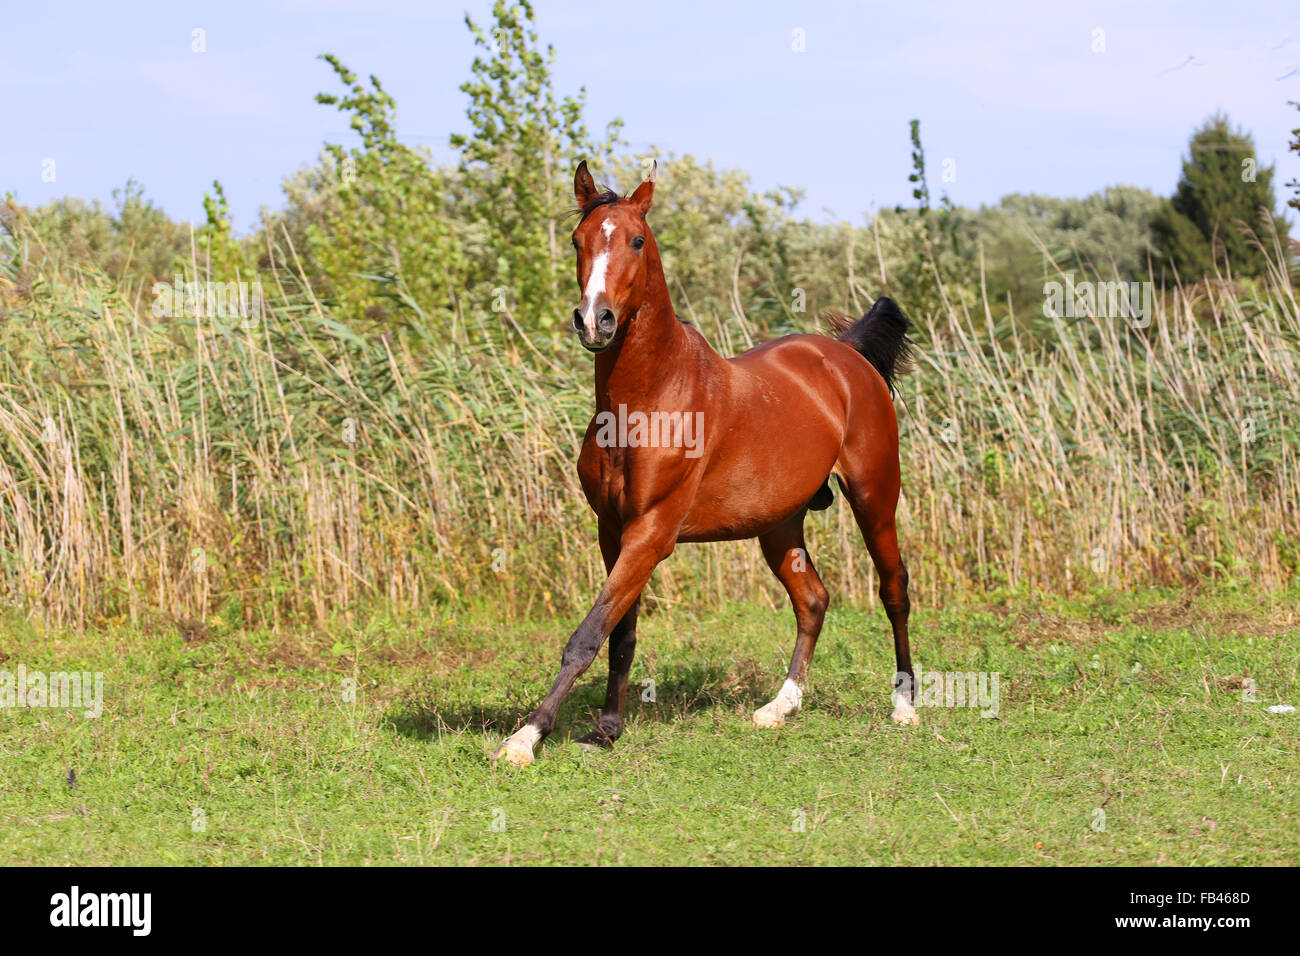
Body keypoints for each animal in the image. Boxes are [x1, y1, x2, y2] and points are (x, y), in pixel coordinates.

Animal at [492, 160, 917, 766]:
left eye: (637, 240)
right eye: (577, 240)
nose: (594, 322)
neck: (650, 400)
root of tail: (848, 356)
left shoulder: (651, 533)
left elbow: (587, 635)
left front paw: (527, 737)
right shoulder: (613, 530)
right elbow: (619, 633)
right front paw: (606, 729)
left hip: (875, 495)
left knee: (893, 589)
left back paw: (904, 705)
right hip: (779, 523)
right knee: (812, 599)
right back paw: (778, 708)